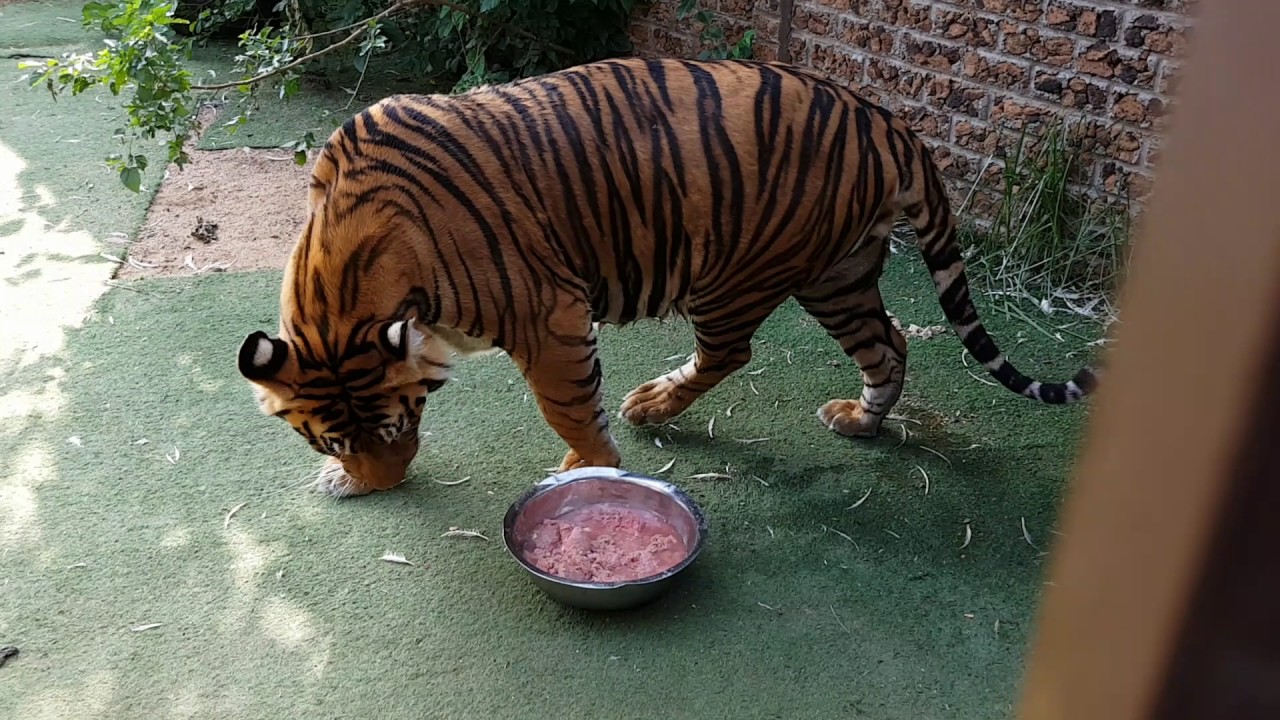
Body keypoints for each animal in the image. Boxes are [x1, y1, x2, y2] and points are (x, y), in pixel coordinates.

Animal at [236, 57, 1099, 497]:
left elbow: (568, 408)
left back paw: (653, 403)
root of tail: (891, 122)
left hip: (735, 274)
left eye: (393, 428)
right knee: (888, 342)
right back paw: (861, 419)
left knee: (732, 353)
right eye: (332, 439)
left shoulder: (550, 315)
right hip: (837, 273)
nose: (383, 484)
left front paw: (589, 469)